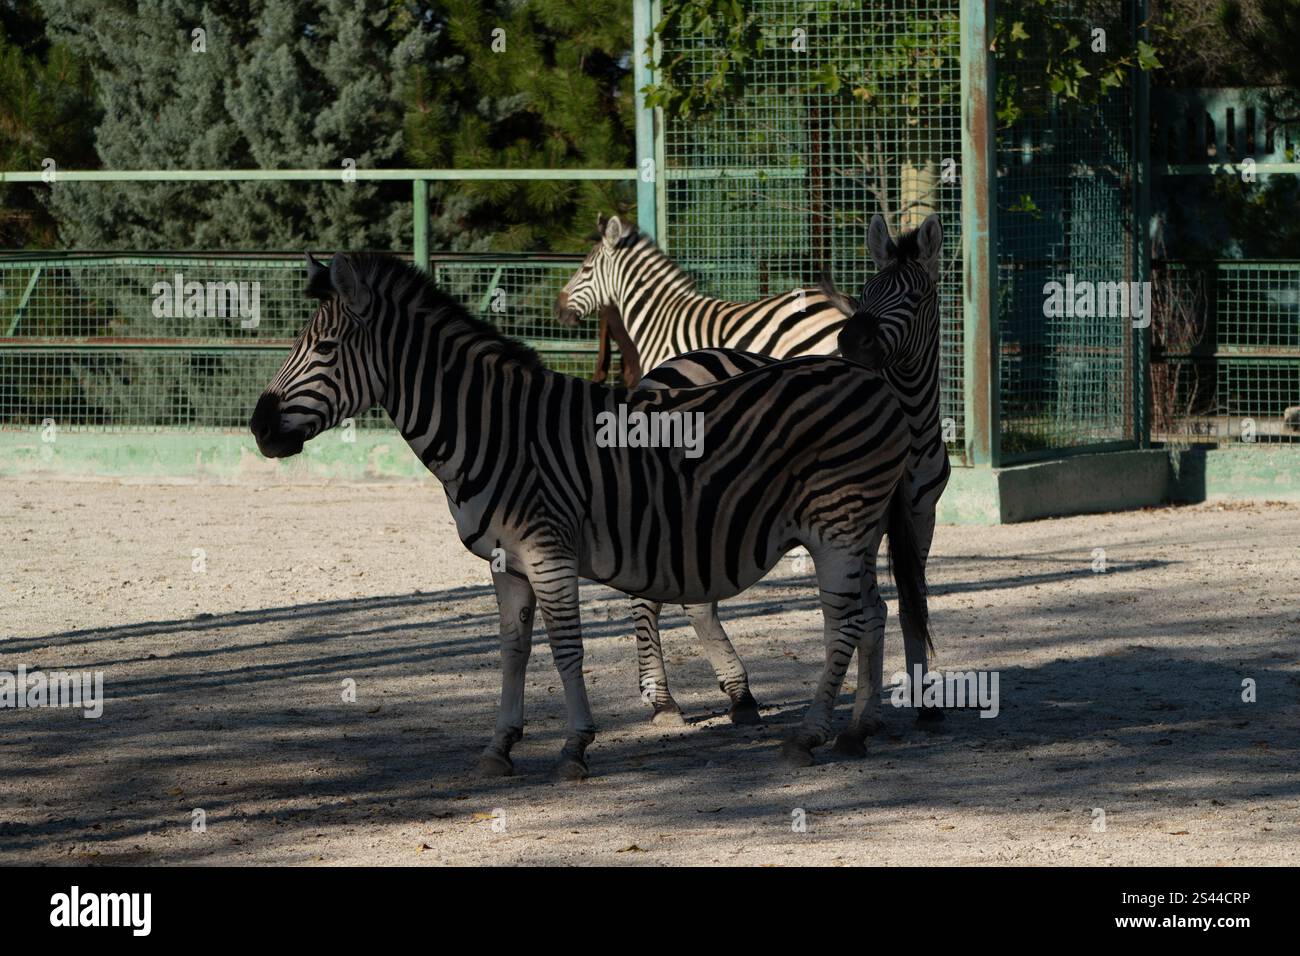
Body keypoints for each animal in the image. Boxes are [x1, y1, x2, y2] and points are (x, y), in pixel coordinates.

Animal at [249, 252, 928, 777]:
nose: (257, 427)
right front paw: (500, 745)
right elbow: (513, 649)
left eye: (325, 347)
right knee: (872, 613)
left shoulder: (549, 552)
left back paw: (809, 734)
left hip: (838, 526)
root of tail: (870, 382)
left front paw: (574, 747)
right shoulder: (505, 563)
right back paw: (857, 729)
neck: (495, 430)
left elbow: (566, 648)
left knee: (843, 622)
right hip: (856, 529)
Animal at [556, 214, 950, 746]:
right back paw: (664, 702)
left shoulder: (919, 515)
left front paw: (922, 703)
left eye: (914, 296)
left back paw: (738, 696)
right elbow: (870, 610)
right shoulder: (858, 519)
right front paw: (864, 716)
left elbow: (911, 603)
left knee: (692, 599)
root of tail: (669, 367)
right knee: (652, 593)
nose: (852, 343)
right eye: (866, 291)